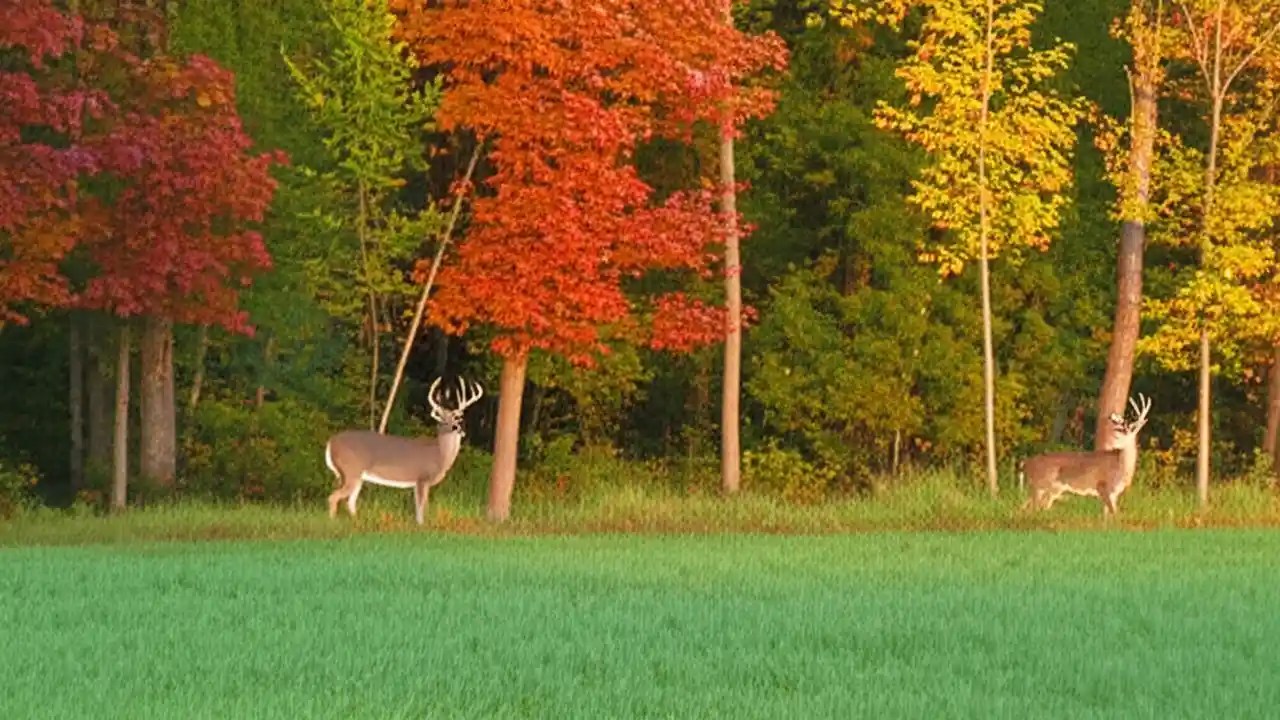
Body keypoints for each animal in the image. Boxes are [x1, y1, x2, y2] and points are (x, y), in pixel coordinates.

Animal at [324, 377, 483, 525]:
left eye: (457, 418)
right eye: (441, 420)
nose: (455, 428)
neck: (440, 455)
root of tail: (331, 442)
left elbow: (421, 507)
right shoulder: (422, 478)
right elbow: (420, 508)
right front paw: (421, 526)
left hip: (356, 476)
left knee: (350, 502)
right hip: (351, 471)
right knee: (333, 497)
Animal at [1020, 393, 1152, 519]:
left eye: (1125, 432)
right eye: (1118, 431)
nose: (1113, 443)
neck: (1121, 467)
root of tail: (1027, 463)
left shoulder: (1114, 494)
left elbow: (1106, 516)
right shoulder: (1103, 487)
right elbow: (1115, 514)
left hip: (1051, 490)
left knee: (1028, 507)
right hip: (1039, 486)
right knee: (1030, 508)